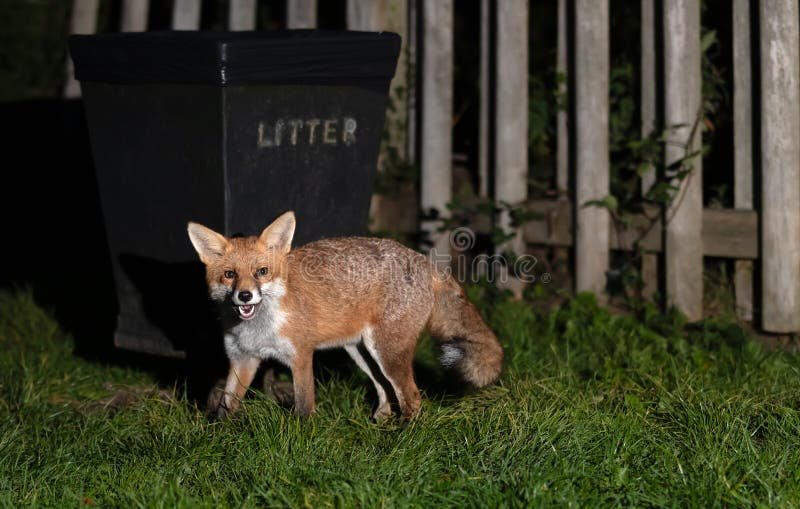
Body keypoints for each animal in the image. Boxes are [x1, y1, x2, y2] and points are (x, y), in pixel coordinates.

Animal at [187, 211, 503, 421]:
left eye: (261, 272)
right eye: (230, 275)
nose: (245, 296)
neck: (258, 329)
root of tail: (425, 260)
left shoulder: (300, 356)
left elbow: (304, 407)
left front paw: (302, 441)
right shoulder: (243, 359)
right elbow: (225, 407)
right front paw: (220, 439)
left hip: (387, 352)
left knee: (412, 397)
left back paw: (404, 440)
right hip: (361, 352)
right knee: (385, 390)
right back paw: (380, 424)